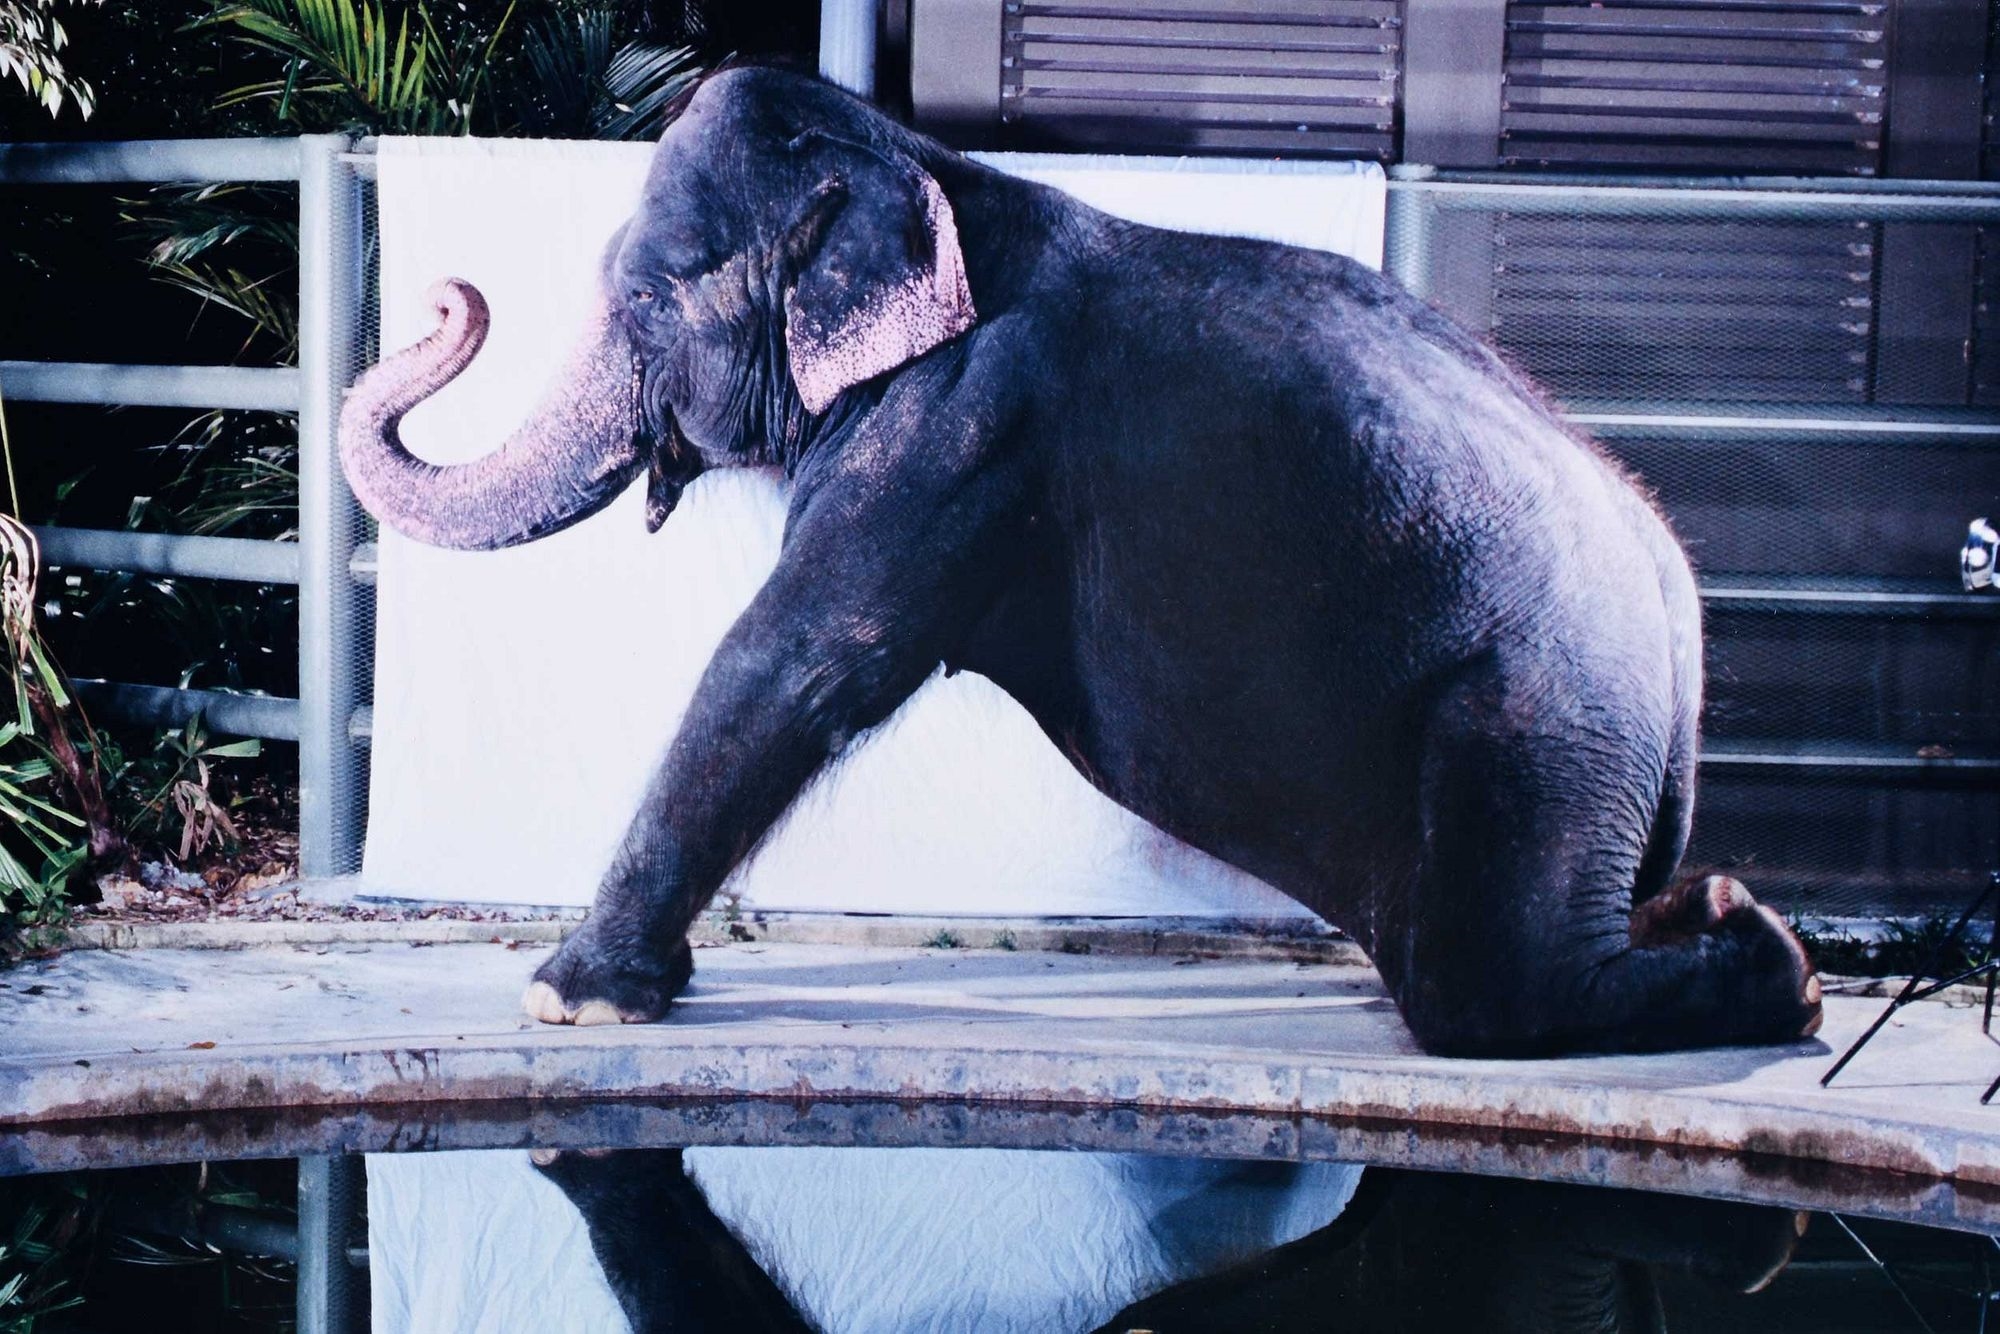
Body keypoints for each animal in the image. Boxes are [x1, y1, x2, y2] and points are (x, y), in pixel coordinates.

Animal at [339, 64, 1823, 1056]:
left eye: (645, 294)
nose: (450, 296)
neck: (932, 165)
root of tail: (1680, 603)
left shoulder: (965, 427)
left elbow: (806, 657)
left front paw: (569, 996)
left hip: (1537, 705)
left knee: (1485, 986)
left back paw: (1779, 965)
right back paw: (1724, 913)